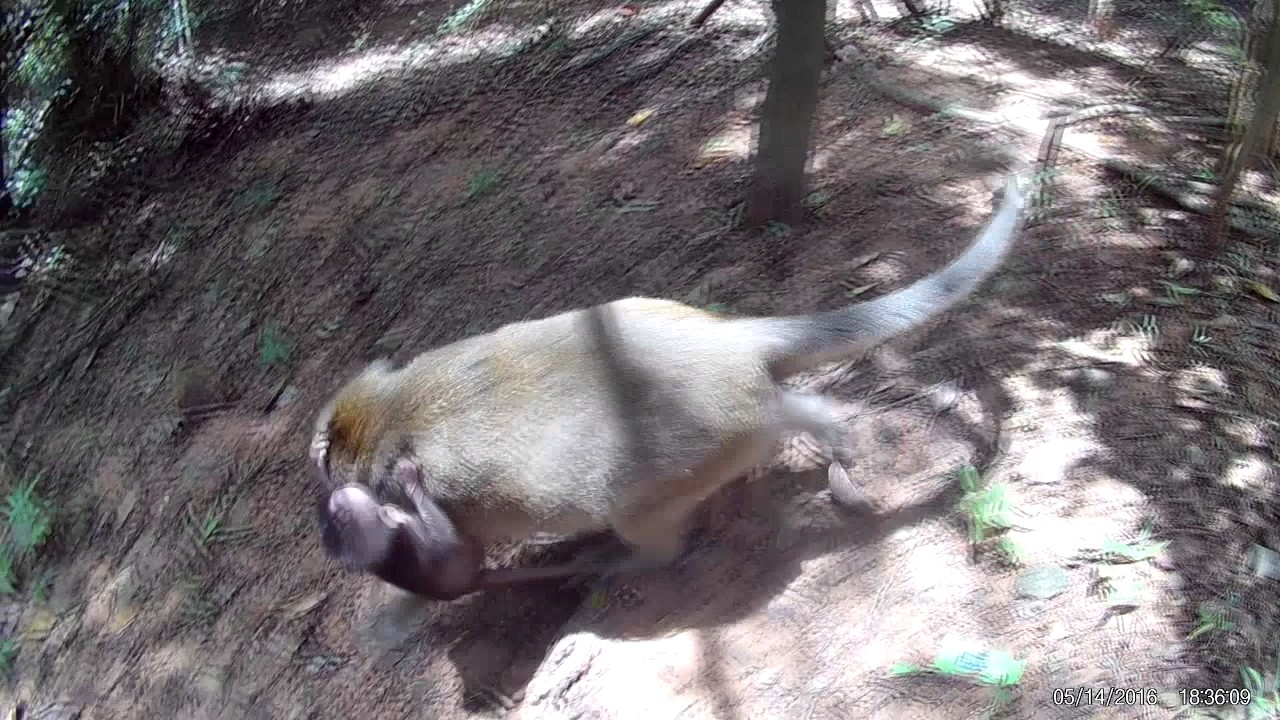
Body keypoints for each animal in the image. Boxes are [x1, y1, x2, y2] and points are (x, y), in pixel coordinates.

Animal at [310, 175, 1028, 599]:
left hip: (694, 453)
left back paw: (635, 559)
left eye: (322, 456)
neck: (385, 413)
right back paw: (827, 429)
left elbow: (453, 562)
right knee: (783, 412)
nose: (318, 473)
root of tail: (728, 341)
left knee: (643, 510)